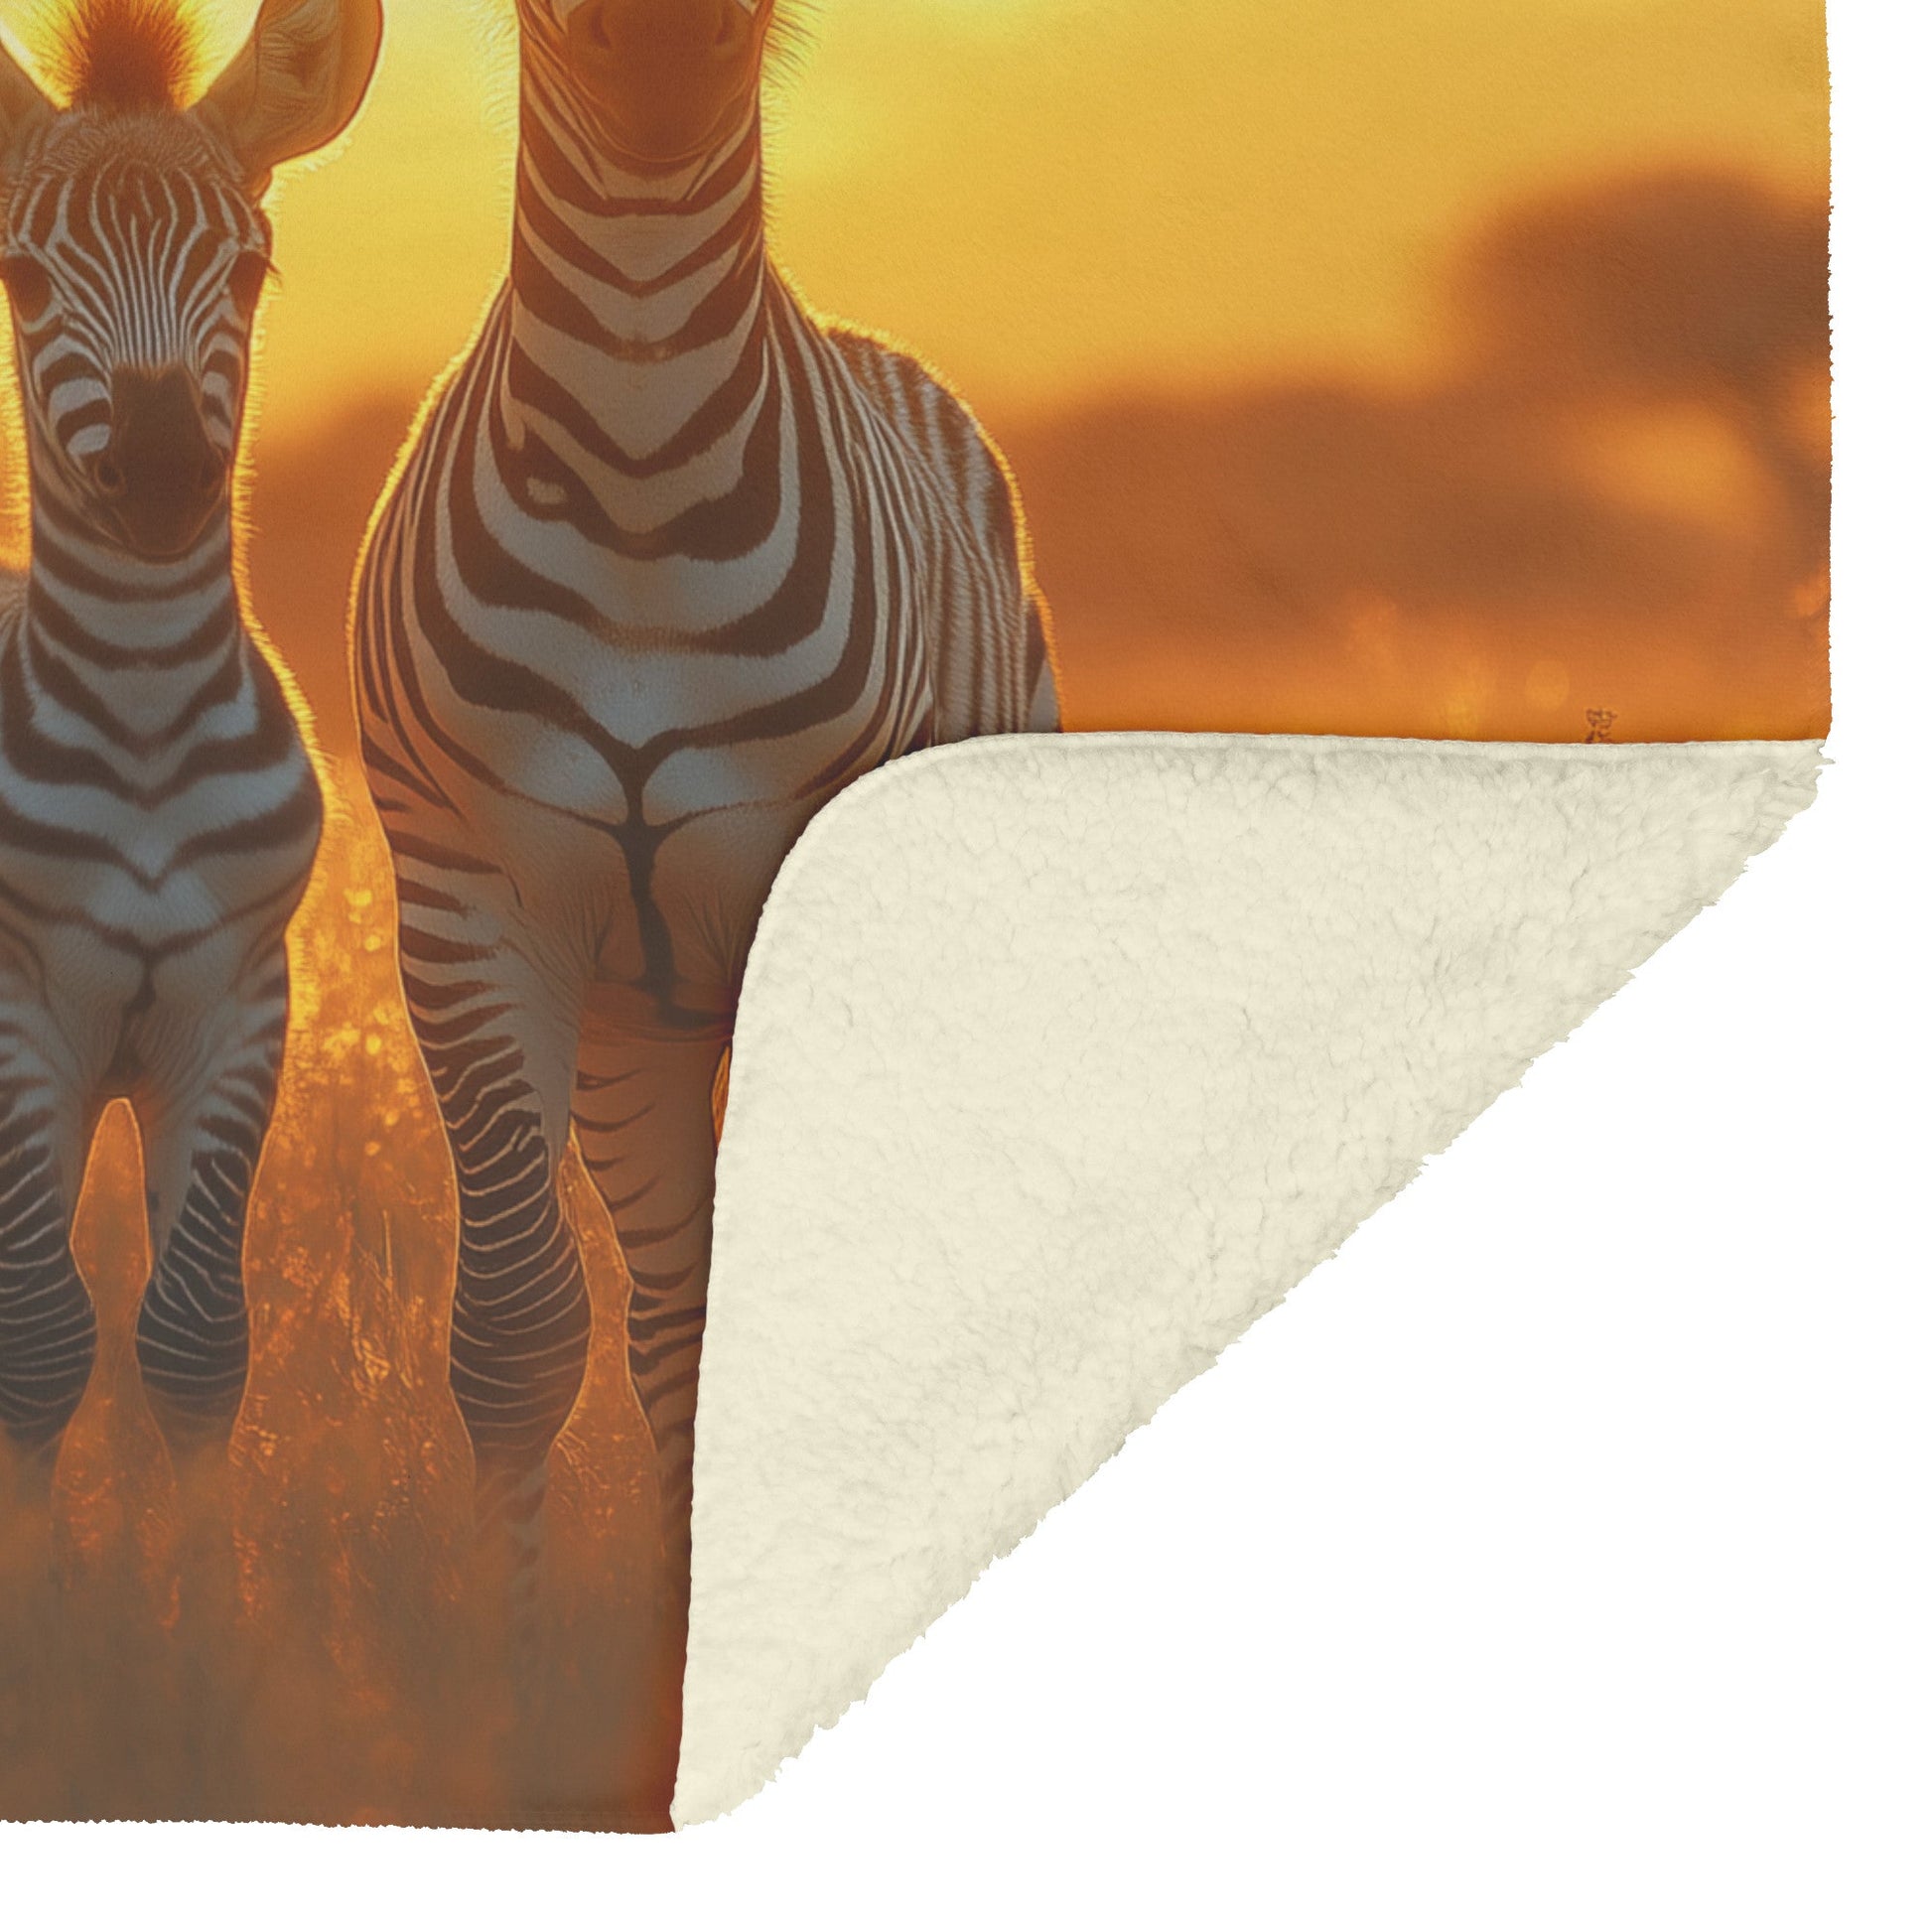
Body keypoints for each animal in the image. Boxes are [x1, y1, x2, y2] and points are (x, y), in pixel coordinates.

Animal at [0, 0, 381, 1511]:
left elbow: (195, 1340)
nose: (163, 476)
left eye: (252, 265)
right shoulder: (21, 1023)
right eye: (21, 277)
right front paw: (50, 1576)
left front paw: (187, 1570)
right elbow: (42, 1342)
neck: (147, 710)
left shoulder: (239, 1003)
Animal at [353, 0, 1060, 1648]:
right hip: (639, 1028)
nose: (665, 35)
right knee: (679, 1318)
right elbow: (520, 1329)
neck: (638, 456)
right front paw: (520, 1659)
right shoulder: (474, 907)